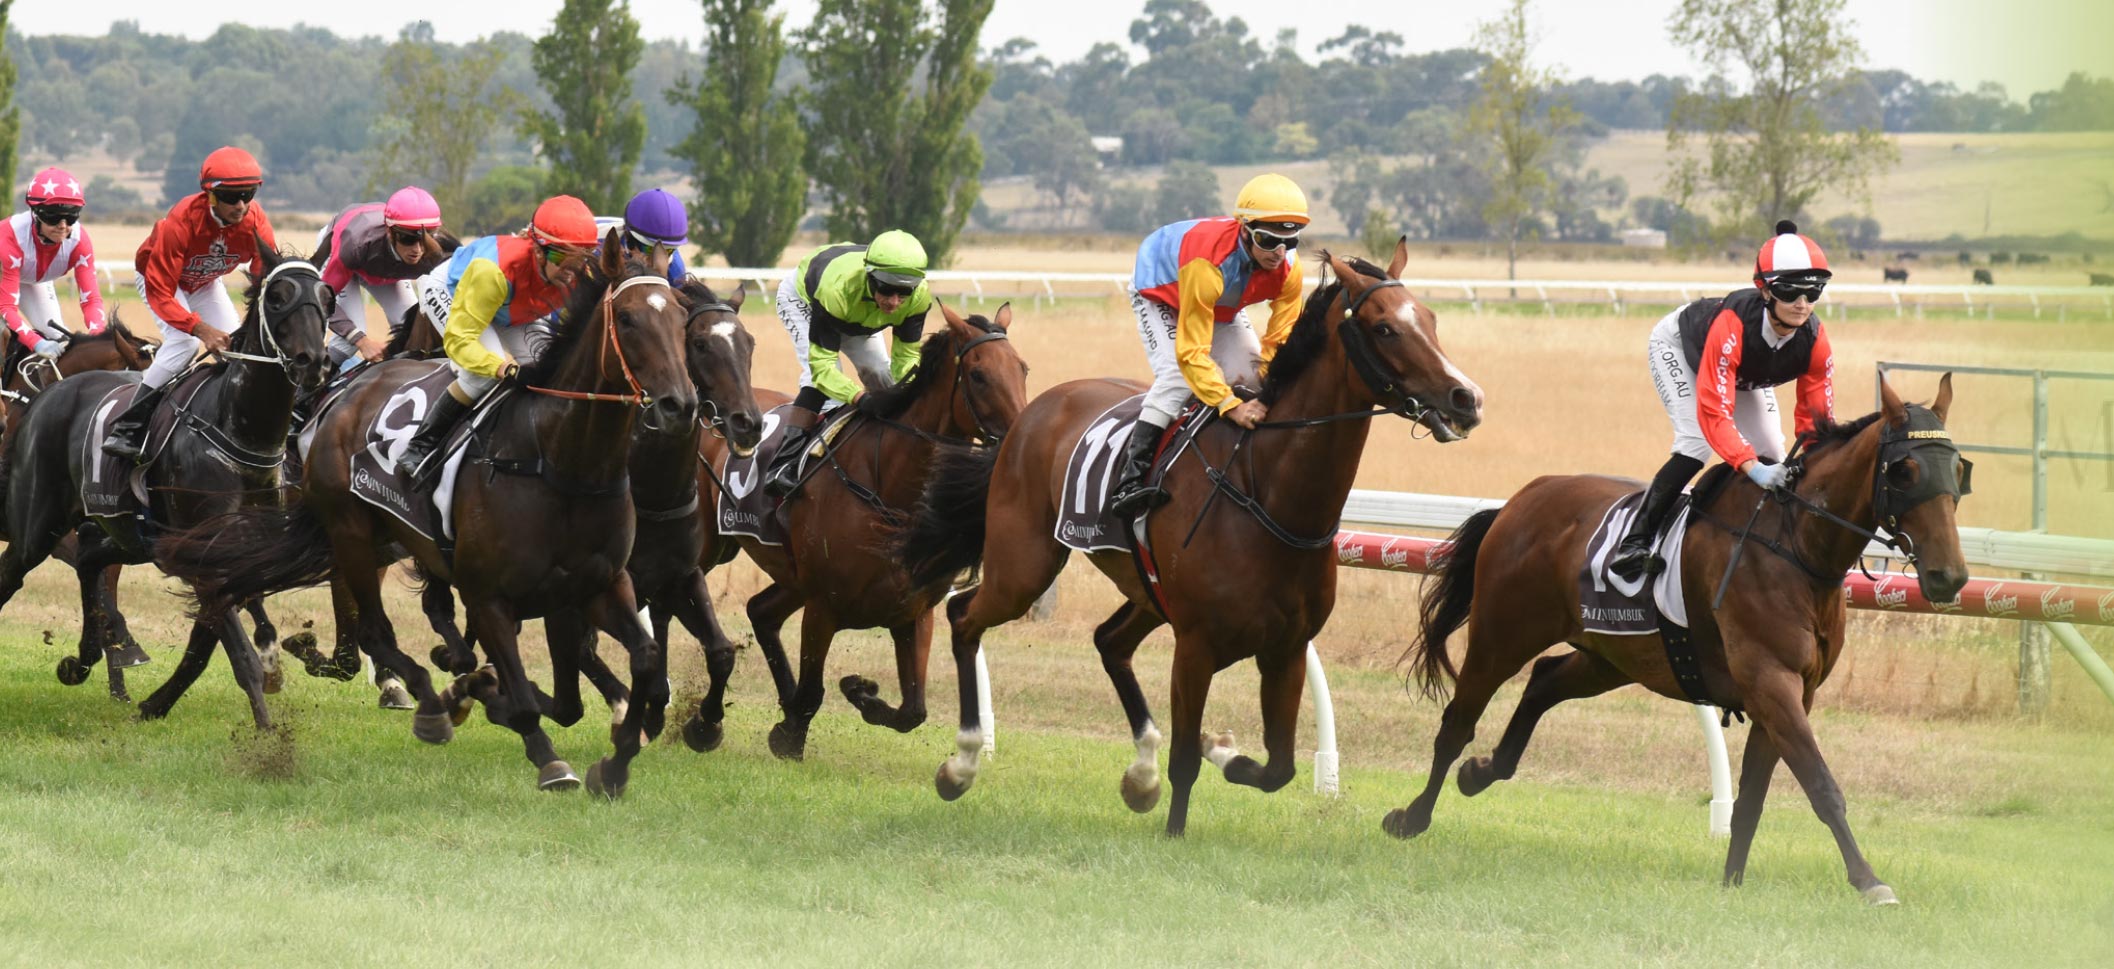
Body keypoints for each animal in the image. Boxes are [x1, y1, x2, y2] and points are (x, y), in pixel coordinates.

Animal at [0, 243, 332, 725]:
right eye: (277, 297)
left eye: (327, 297)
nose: (313, 363)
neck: (237, 429)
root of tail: (47, 396)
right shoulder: (206, 558)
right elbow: (233, 650)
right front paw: (269, 733)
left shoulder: (226, 555)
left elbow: (205, 644)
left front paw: (154, 703)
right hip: (38, 526)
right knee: (15, 572)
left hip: (129, 536)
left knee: (90, 558)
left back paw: (83, 661)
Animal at [156, 234, 698, 795]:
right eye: (628, 319)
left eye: (682, 318)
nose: (680, 405)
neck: (562, 460)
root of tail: (341, 400)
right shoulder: (488, 594)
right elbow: (523, 694)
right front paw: (546, 756)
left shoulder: (599, 585)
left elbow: (641, 660)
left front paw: (616, 761)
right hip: (352, 534)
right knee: (375, 632)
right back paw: (429, 703)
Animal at [678, 300, 1026, 760]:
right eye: (979, 375)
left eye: (1022, 369)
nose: (1021, 438)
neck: (890, 487)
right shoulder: (824, 606)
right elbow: (813, 692)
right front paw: (789, 736)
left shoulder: (914, 611)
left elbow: (913, 711)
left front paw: (859, 691)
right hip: (706, 550)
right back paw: (701, 720)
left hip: (790, 575)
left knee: (761, 611)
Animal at [895, 242, 1485, 835]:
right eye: (1385, 328)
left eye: (1430, 319)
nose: (1466, 398)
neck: (1269, 493)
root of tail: (1028, 415)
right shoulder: (1196, 646)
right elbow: (1187, 762)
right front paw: (1179, 820)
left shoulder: (1287, 649)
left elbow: (1279, 768)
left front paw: (1219, 749)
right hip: (1025, 564)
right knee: (965, 617)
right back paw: (963, 763)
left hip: (1142, 587)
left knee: (1109, 642)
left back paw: (1140, 776)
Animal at [1388, 375, 1970, 905]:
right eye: (1905, 471)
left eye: (1959, 471)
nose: (1950, 577)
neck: (1797, 548)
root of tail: (1522, 499)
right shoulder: (1771, 682)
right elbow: (1821, 785)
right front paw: (1869, 881)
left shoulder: (1789, 693)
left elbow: (1754, 798)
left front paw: (1731, 881)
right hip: (1502, 633)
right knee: (1457, 723)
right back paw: (1412, 816)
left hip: (1614, 654)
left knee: (1544, 680)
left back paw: (1480, 772)